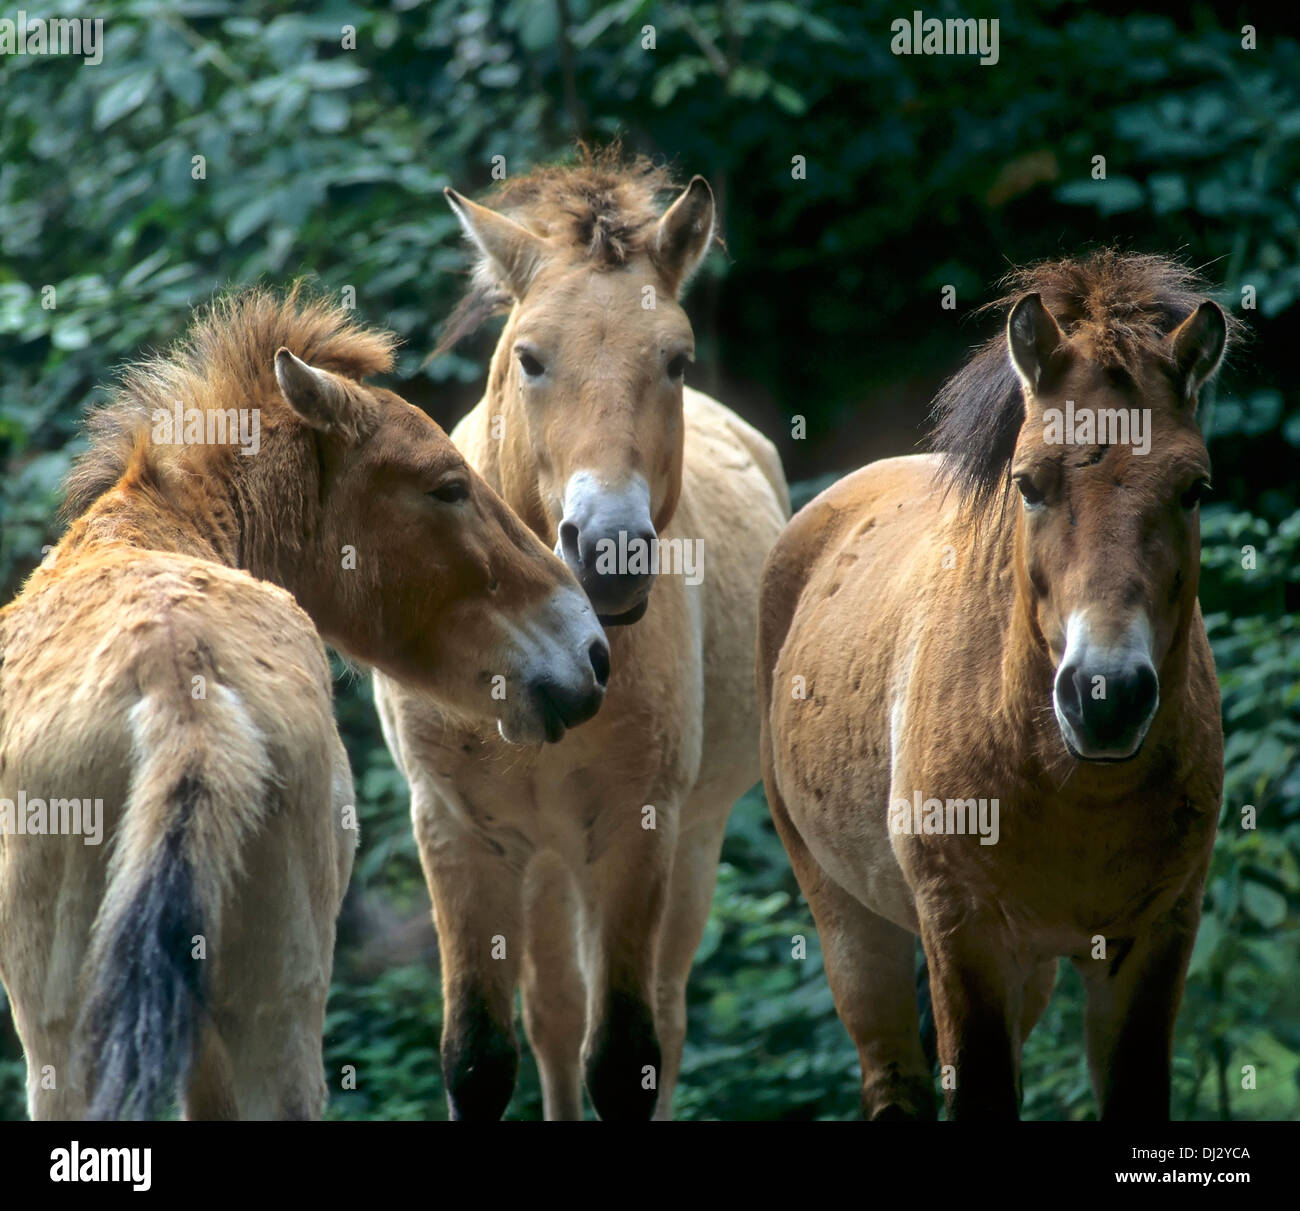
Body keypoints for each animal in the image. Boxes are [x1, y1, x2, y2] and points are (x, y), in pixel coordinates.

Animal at [373, 148, 790, 1120]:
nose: (609, 545)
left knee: (663, 1017)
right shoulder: (459, 835)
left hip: (686, 839)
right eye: (530, 358)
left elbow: (627, 1056)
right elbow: (481, 1058)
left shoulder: (640, 834)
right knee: (556, 1014)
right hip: (546, 862)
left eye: (676, 359)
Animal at [758, 251, 1230, 1120]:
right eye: (1029, 483)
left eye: (1194, 488)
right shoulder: (963, 932)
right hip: (849, 923)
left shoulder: (1156, 938)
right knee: (894, 1078)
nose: (1106, 695)